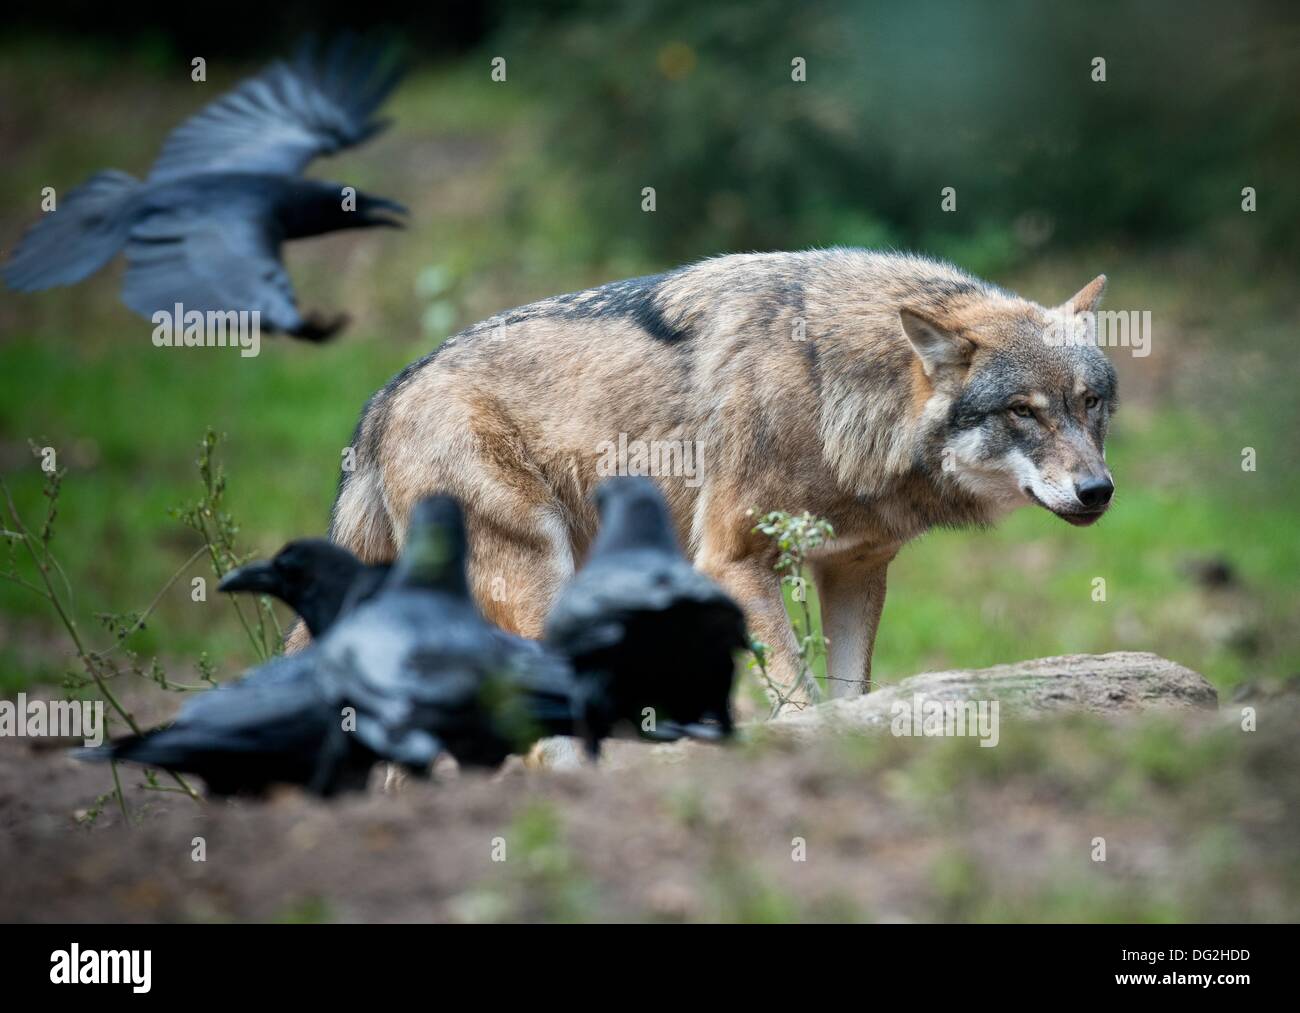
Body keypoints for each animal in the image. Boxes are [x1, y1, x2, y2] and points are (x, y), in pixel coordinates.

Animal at [313, 249, 1117, 702]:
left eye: (1090, 404)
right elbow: (802, 703)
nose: (1099, 491)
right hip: (539, 583)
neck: (837, 392)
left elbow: (849, 698)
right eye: (1023, 411)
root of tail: (380, 401)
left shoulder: (855, 570)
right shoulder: (732, 565)